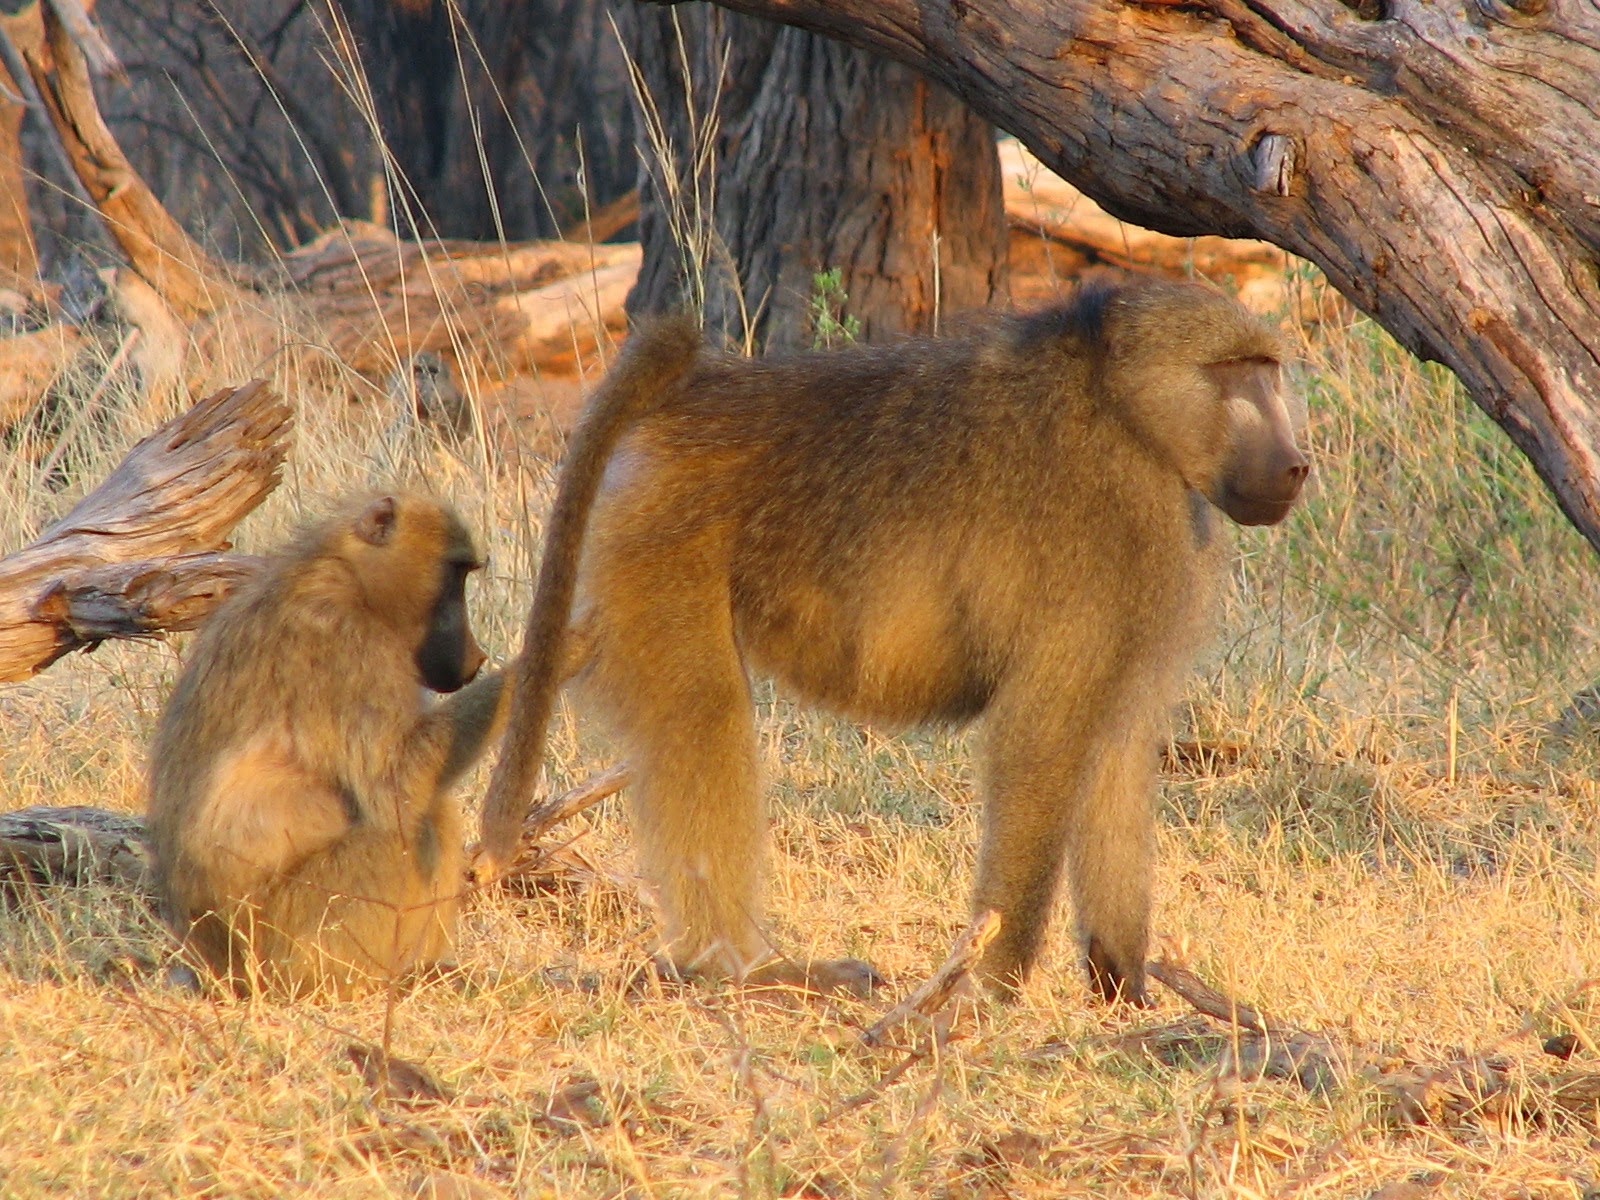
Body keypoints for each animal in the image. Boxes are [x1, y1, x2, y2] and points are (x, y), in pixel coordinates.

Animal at [146, 492, 509, 997]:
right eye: (455, 575)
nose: (475, 659)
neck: (348, 576)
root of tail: (214, 965)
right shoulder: (346, 641)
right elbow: (398, 784)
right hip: (290, 936)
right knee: (423, 818)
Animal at [475, 278, 1309, 1004]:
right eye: (1234, 373)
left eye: (1268, 371)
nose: (1298, 464)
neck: (1118, 405)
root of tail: (701, 391)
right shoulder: (1119, 525)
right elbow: (1041, 739)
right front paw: (989, 987)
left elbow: (1120, 744)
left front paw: (1122, 986)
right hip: (663, 540)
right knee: (703, 713)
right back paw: (743, 969)